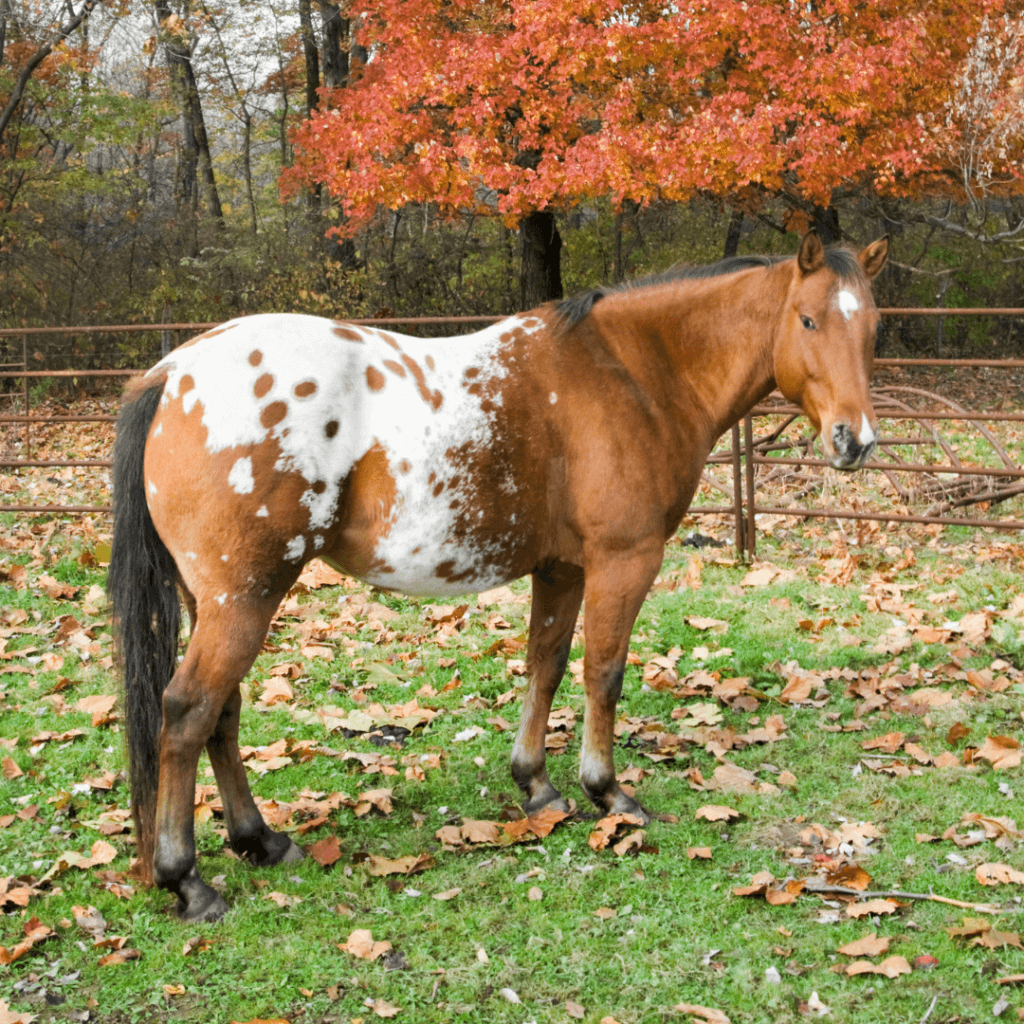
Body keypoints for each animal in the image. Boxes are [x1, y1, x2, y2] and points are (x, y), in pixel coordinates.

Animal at [108, 231, 888, 920]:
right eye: (808, 319)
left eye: (873, 328)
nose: (855, 441)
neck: (634, 371)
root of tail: (171, 375)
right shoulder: (623, 560)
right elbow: (603, 672)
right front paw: (609, 793)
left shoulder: (563, 568)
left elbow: (545, 665)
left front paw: (537, 787)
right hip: (244, 597)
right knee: (187, 712)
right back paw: (188, 881)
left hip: (218, 600)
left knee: (222, 711)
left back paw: (260, 840)